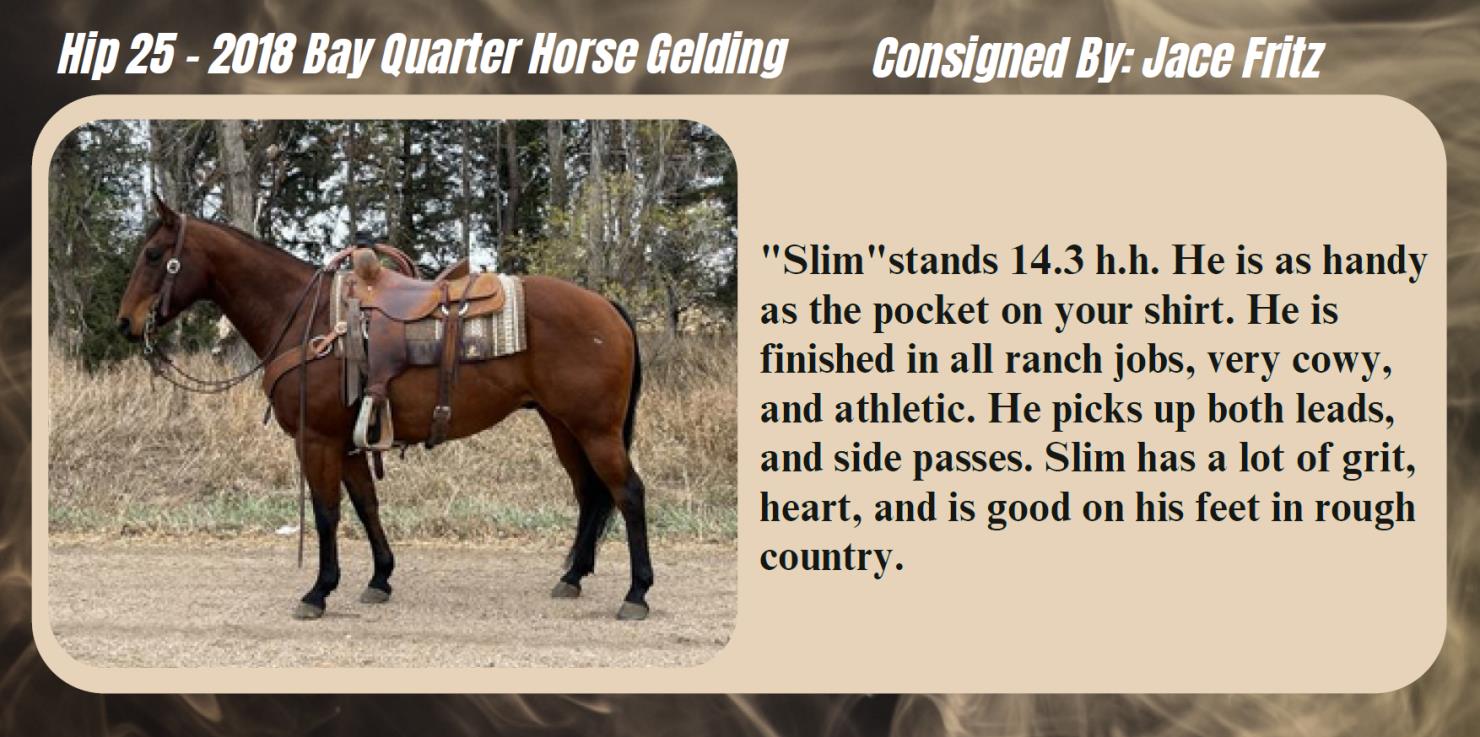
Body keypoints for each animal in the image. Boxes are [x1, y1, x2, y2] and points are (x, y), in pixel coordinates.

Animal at [115, 196, 653, 621]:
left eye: (154, 254)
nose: (125, 323)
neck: (304, 318)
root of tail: (608, 307)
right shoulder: (350, 441)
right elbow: (366, 504)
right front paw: (379, 579)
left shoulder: (317, 440)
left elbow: (328, 512)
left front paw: (318, 591)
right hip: (564, 426)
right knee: (589, 493)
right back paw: (573, 576)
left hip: (596, 429)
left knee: (627, 493)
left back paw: (637, 593)